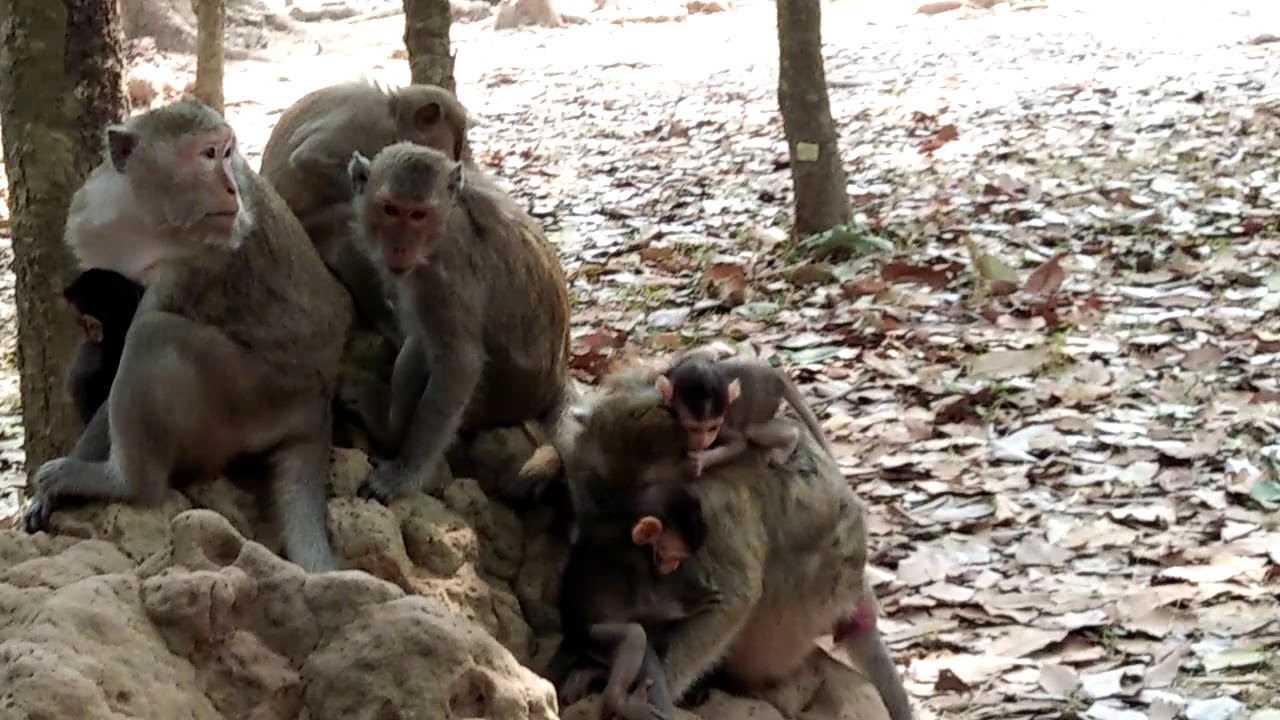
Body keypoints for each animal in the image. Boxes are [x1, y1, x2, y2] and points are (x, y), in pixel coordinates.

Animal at [342, 141, 572, 505]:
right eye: (391, 210)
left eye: (418, 215)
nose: (400, 247)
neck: (443, 226)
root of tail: (557, 381)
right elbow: (420, 343)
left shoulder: (445, 275)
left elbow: (459, 364)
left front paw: (404, 474)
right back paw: (388, 431)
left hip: (499, 400)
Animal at [547, 482, 720, 720]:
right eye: (675, 556)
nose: (673, 566)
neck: (626, 523)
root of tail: (570, 638)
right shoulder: (635, 561)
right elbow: (649, 603)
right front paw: (694, 602)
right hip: (591, 637)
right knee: (634, 635)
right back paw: (619, 700)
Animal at [656, 346, 835, 477]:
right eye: (693, 428)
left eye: (713, 427)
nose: (703, 443)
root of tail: (776, 374)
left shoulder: (724, 425)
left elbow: (739, 444)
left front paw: (701, 460)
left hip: (766, 401)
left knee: (752, 429)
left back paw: (789, 441)